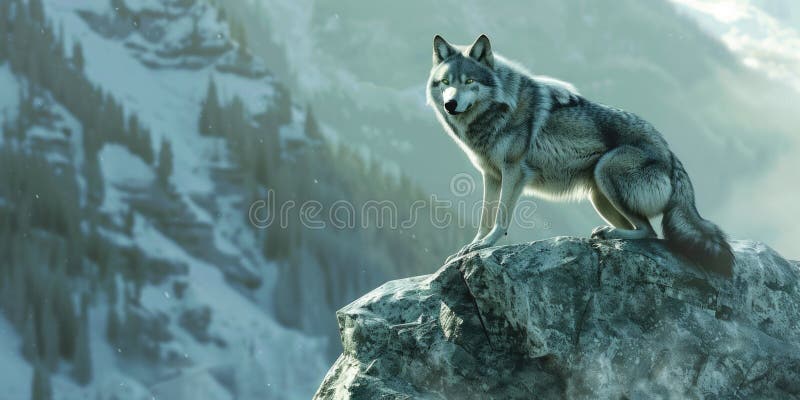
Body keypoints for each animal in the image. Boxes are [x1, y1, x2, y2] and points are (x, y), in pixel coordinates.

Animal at [428, 34, 734, 276]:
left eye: (469, 80)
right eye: (445, 82)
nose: (450, 104)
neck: (498, 110)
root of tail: (670, 153)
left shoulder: (514, 172)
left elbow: (501, 216)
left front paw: (488, 244)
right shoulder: (491, 175)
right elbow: (485, 216)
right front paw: (473, 246)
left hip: (606, 170)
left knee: (650, 232)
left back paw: (608, 234)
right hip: (598, 195)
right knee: (647, 231)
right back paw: (606, 234)